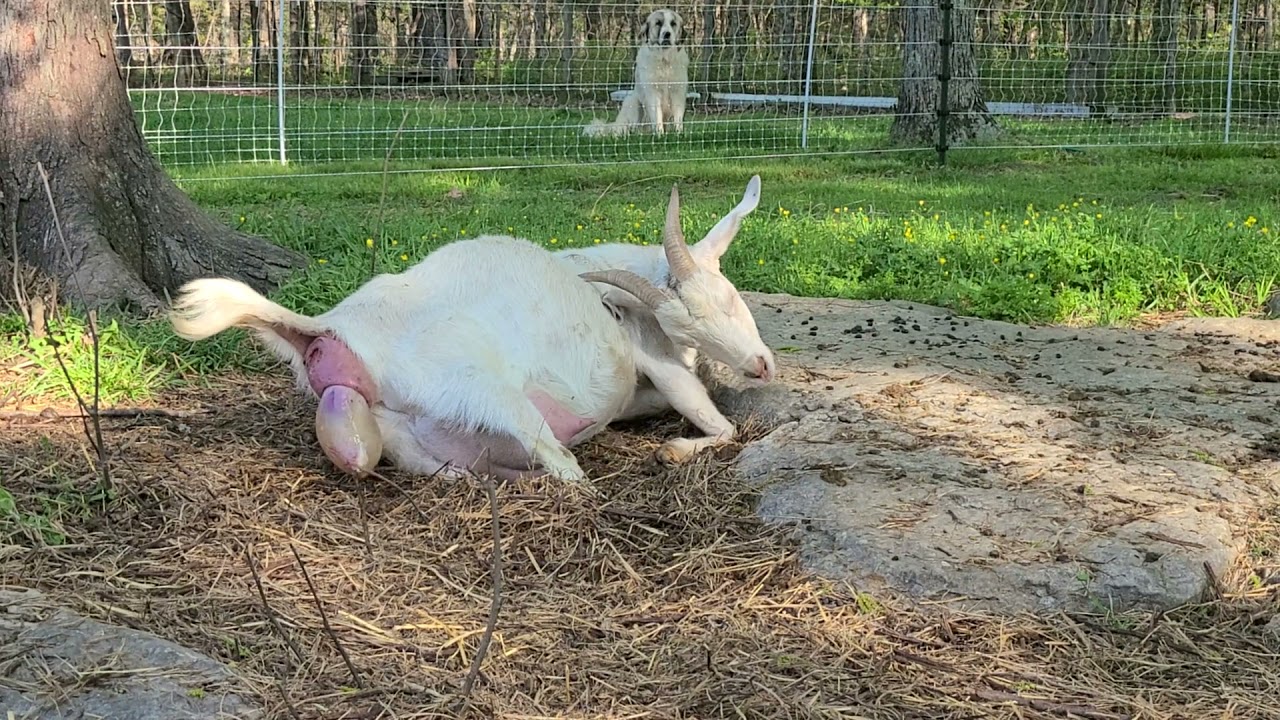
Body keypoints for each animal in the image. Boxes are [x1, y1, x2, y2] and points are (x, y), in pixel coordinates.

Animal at [559, 176, 776, 465]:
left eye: (729, 299)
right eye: (689, 338)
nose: (758, 369)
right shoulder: (654, 355)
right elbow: (720, 422)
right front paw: (673, 449)